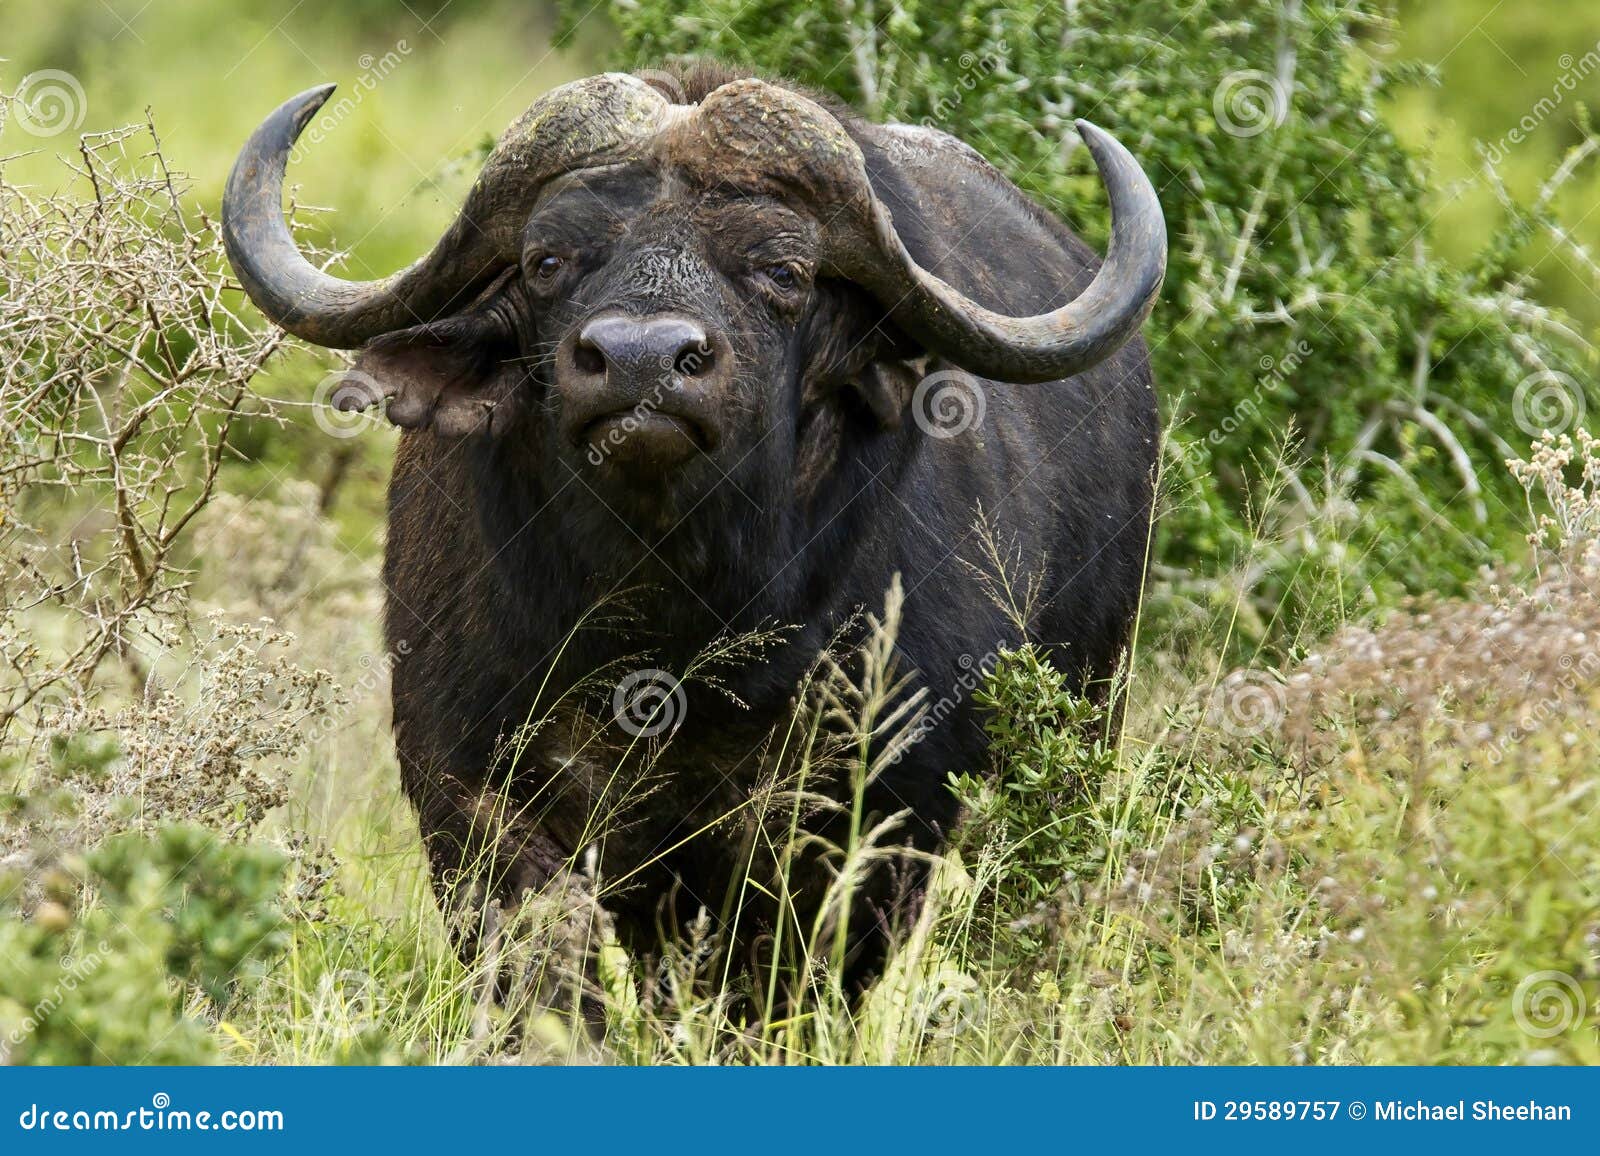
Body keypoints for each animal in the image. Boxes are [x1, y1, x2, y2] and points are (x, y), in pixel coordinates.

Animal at [222, 62, 1165, 987]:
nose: (639, 361)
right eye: (546, 260)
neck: (667, 624)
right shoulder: (469, 789)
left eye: (783, 272)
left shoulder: (878, 819)